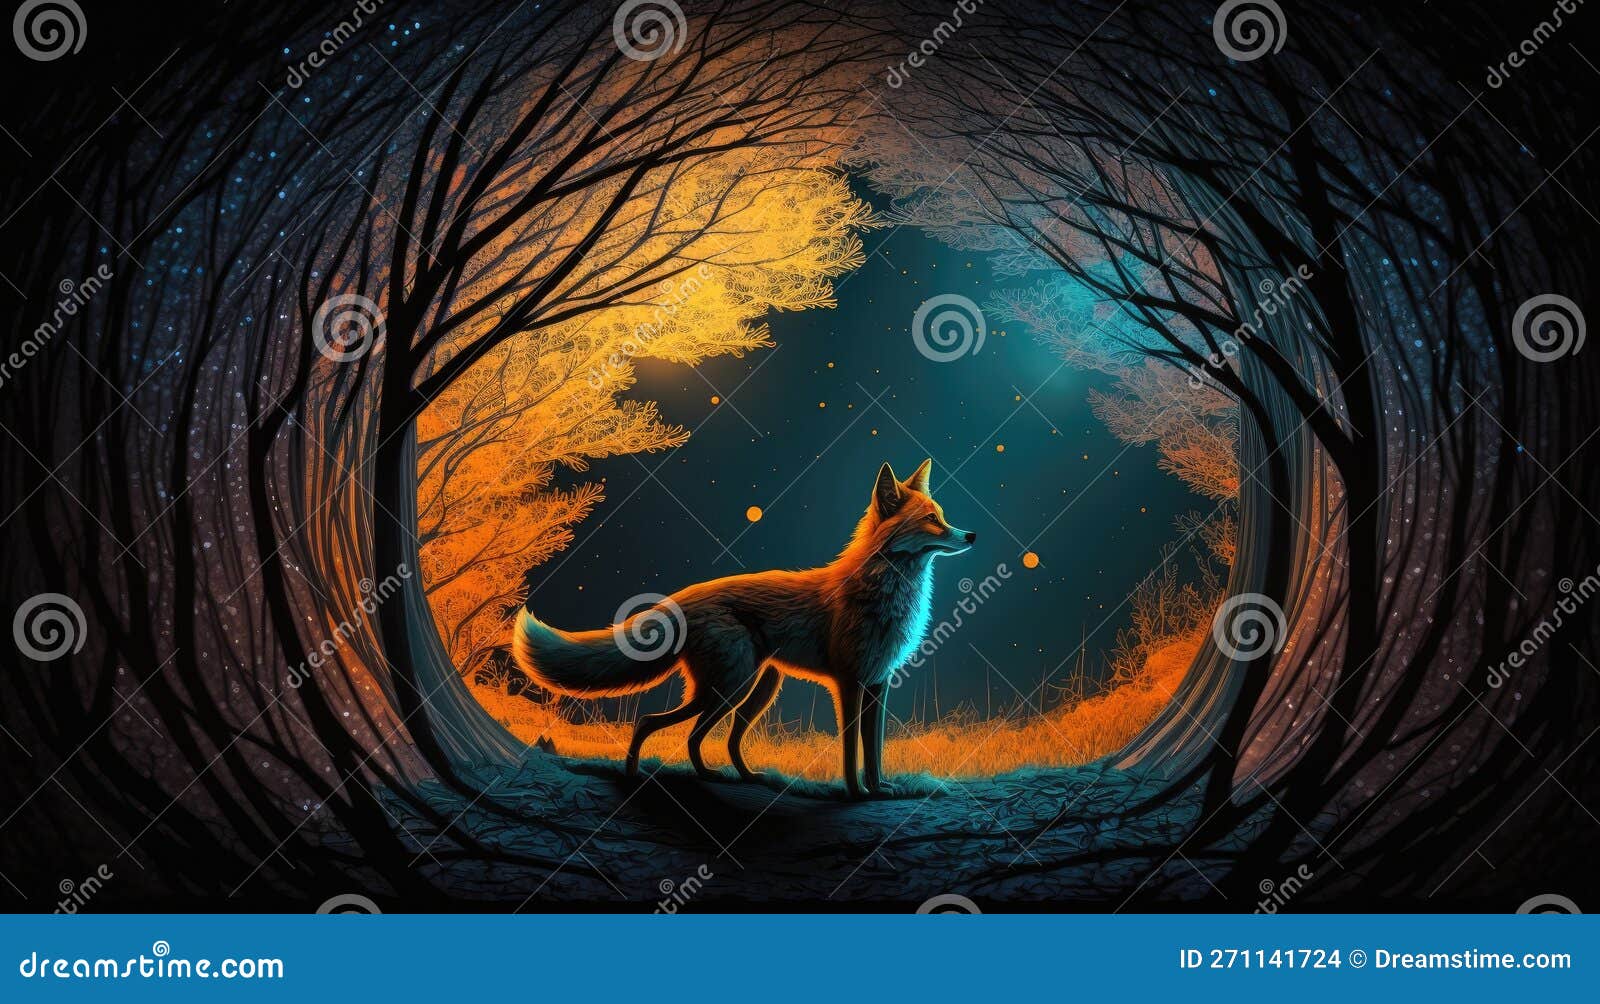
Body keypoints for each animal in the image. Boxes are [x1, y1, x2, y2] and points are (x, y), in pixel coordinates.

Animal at [511, 458, 974, 797]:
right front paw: (856, 794)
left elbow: (874, 748)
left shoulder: (878, 683)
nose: (970, 534)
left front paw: (879, 788)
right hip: (730, 686)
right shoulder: (849, 682)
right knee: (657, 723)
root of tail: (684, 596)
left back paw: (738, 777)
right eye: (932, 519)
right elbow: (850, 752)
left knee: (719, 739)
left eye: (943, 516)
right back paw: (634, 775)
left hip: (756, 688)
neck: (883, 591)